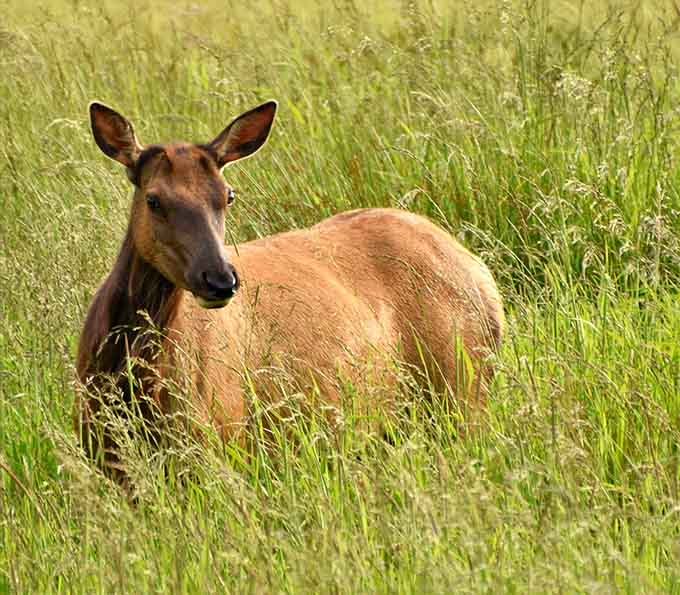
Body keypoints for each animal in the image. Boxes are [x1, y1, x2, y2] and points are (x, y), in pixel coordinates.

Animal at [74, 99, 504, 480]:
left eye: (228, 195)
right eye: (153, 199)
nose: (220, 279)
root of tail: (484, 280)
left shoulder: (218, 432)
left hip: (460, 389)